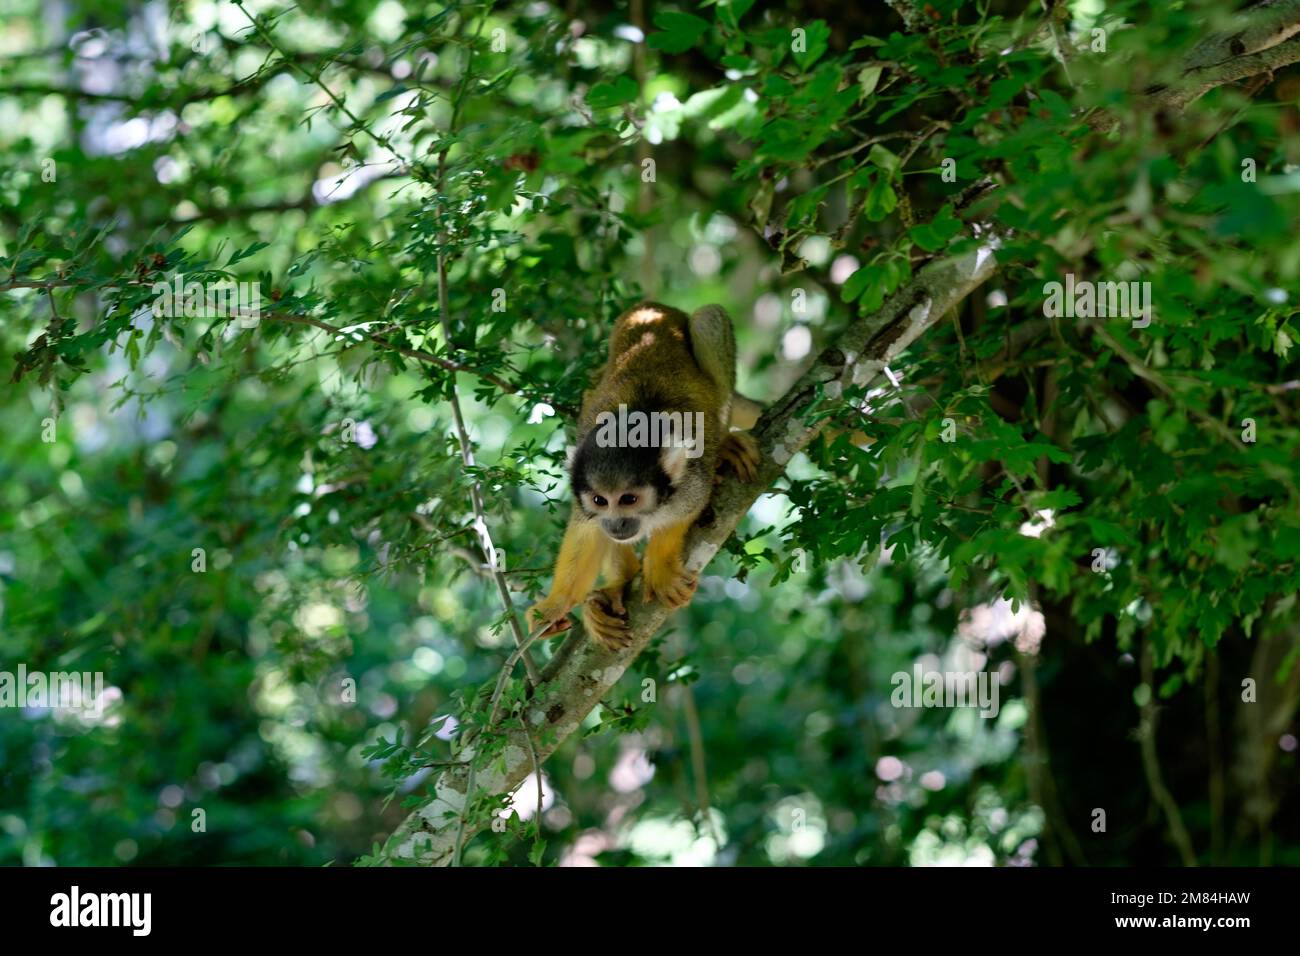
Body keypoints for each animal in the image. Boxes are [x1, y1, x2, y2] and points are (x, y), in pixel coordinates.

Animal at [527, 302, 762, 650]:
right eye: (601, 501)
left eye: (628, 500)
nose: (616, 524)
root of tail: (656, 308)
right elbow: (586, 532)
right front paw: (556, 603)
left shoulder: (692, 482)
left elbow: (685, 511)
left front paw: (661, 566)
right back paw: (617, 585)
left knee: (706, 319)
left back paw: (725, 444)